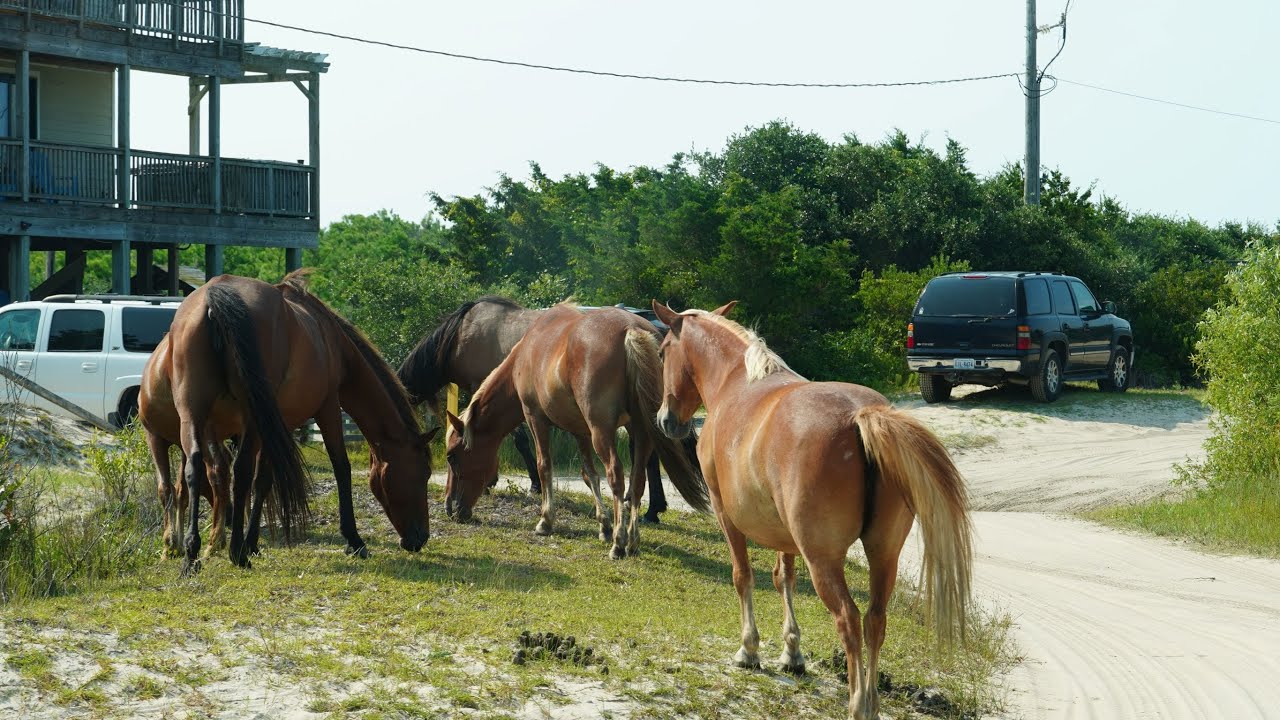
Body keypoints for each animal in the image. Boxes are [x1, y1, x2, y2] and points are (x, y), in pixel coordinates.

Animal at [140, 271, 437, 575]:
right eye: (423, 472)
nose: (419, 538)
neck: (332, 342)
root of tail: (214, 296)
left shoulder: (276, 425)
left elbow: (264, 480)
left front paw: (252, 543)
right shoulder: (327, 407)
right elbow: (340, 467)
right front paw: (354, 540)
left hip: (193, 413)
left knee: (195, 466)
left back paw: (191, 554)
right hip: (248, 418)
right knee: (240, 470)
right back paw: (235, 552)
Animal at [396, 296, 669, 521]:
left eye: (451, 457)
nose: (450, 508)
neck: (461, 334)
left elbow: (519, 440)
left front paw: (524, 484)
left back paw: (650, 509)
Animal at [443, 304, 709, 559]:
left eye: (452, 456)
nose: (450, 508)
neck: (526, 351)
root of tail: (632, 329)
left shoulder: (535, 418)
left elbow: (544, 466)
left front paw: (546, 521)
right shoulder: (581, 432)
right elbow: (589, 474)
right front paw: (603, 525)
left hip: (603, 431)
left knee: (616, 475)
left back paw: (619, 543)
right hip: (641, 431)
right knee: (637, 480)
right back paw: (632, 541)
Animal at [650, 301, 973, 720]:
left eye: (662, 353)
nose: (666, 420)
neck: (735, 381)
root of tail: (860, 416)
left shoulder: (726, 516)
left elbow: (743, 576)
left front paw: (749, 650)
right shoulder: (787, 537)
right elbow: (783, 579)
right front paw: (792, 652)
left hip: (824, 561)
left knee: (849, 620)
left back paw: (858, 703)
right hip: (883, 555)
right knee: (875, 620)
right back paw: (871, 699)